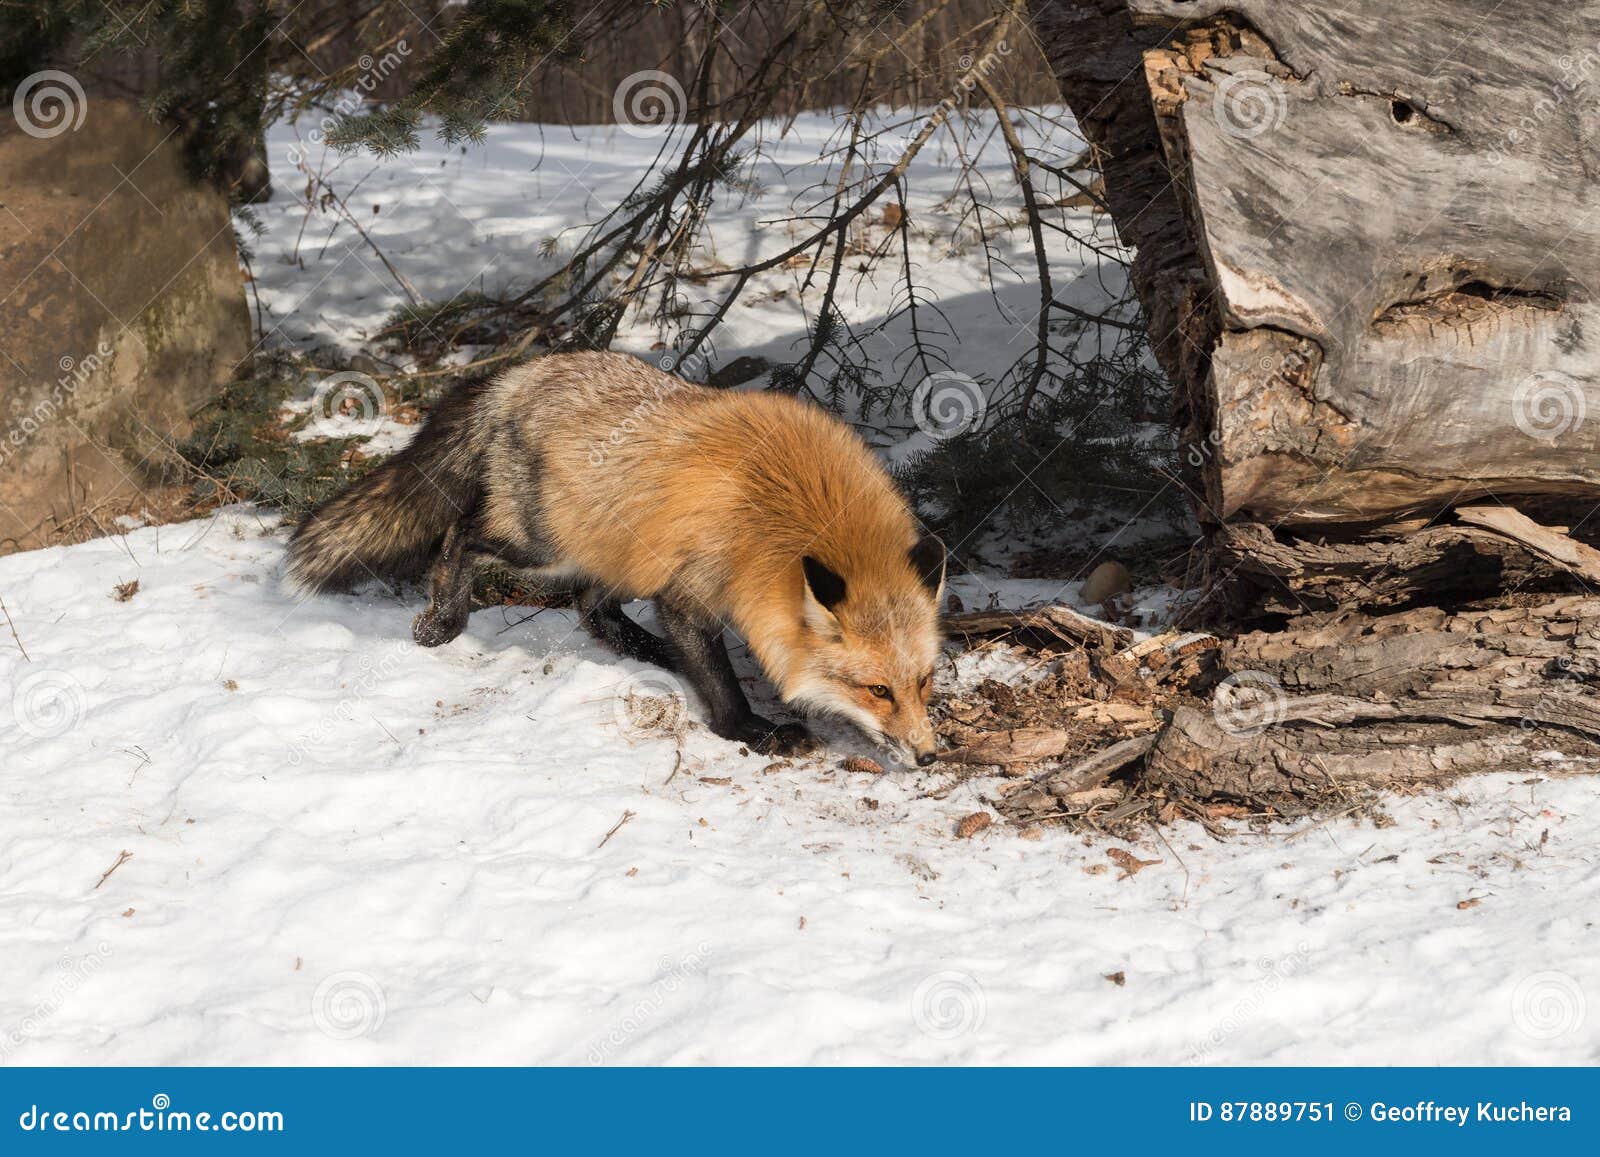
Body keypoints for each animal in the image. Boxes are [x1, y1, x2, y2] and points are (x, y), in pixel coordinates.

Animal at [285, 351, 947, 765]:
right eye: (877, 690)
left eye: (922, 681)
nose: (929, 754)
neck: (789, 512)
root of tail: (522, 372)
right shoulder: (691, 589)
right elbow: (721, 687)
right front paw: (752, 731)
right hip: (543, 544)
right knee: (460, 536)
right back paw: (442, 621)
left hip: (617, 551)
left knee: (589, 607)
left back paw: (653, 652)